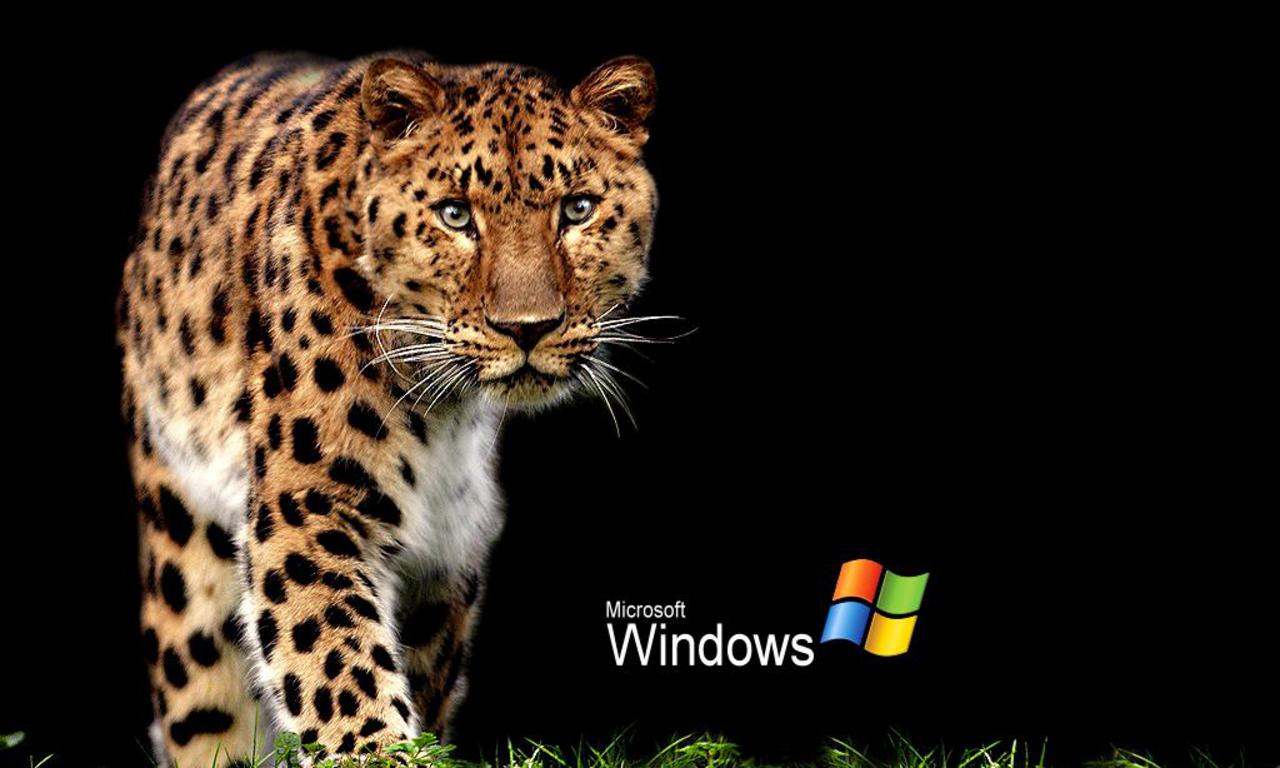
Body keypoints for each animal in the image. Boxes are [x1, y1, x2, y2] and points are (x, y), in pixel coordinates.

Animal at [117, 50, 658, 765]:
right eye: (455, 215)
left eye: (578, 210)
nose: (528, 328)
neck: (447, 412)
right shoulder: (307, 504)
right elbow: (335, 656)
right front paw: (379, 752)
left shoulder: (447, 560)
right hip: (183, 539)